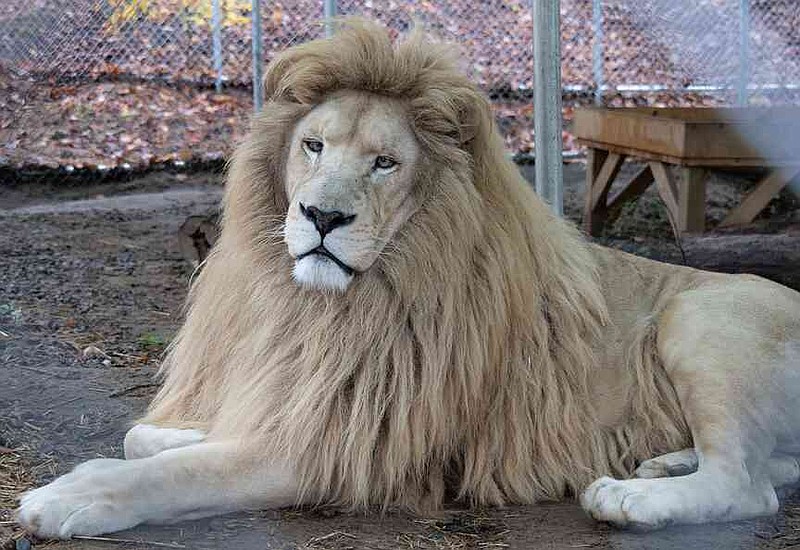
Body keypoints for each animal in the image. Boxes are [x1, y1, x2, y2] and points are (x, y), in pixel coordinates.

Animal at [17, 19, 800, 538]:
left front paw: (69, 496)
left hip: (701, 321)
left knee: (746, 485)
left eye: (384, 163)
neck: (321, 306)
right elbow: (146, 439)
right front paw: (171, 433)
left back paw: (633, 498)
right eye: (312, 145)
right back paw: (662, 465)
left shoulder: (348, 448)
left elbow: (177, 472)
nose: (322, 216)